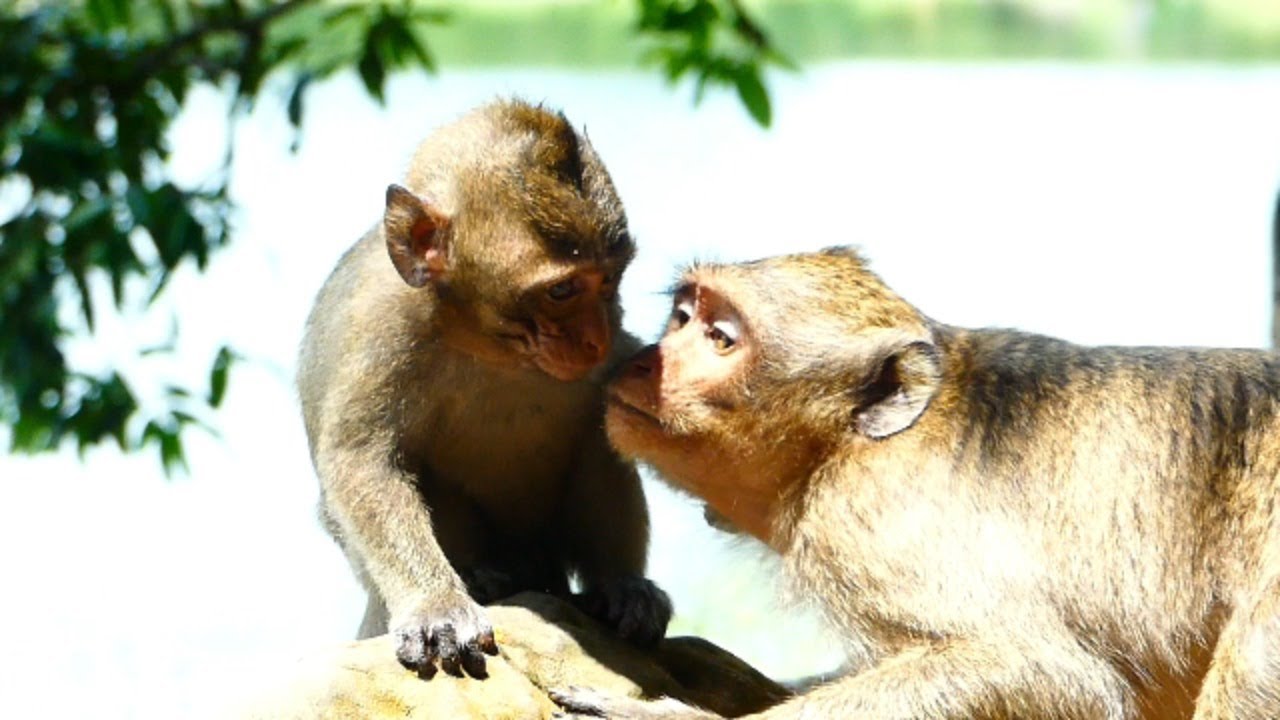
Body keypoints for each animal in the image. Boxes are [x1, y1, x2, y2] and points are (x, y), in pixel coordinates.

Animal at [296, 99, 671, 679]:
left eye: (610, 279)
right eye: (562, 290)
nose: (594, 339)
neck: (484, 340)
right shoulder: (384, 326)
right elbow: (361, 460)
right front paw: (436, 605)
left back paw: (619, 588)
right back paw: (485, 575)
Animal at [554, 247, 1280, 719]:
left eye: (721, 337)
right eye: (681, 318)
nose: (644, 360)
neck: (850, 442)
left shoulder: (865, 518)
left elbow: (1043, 670)